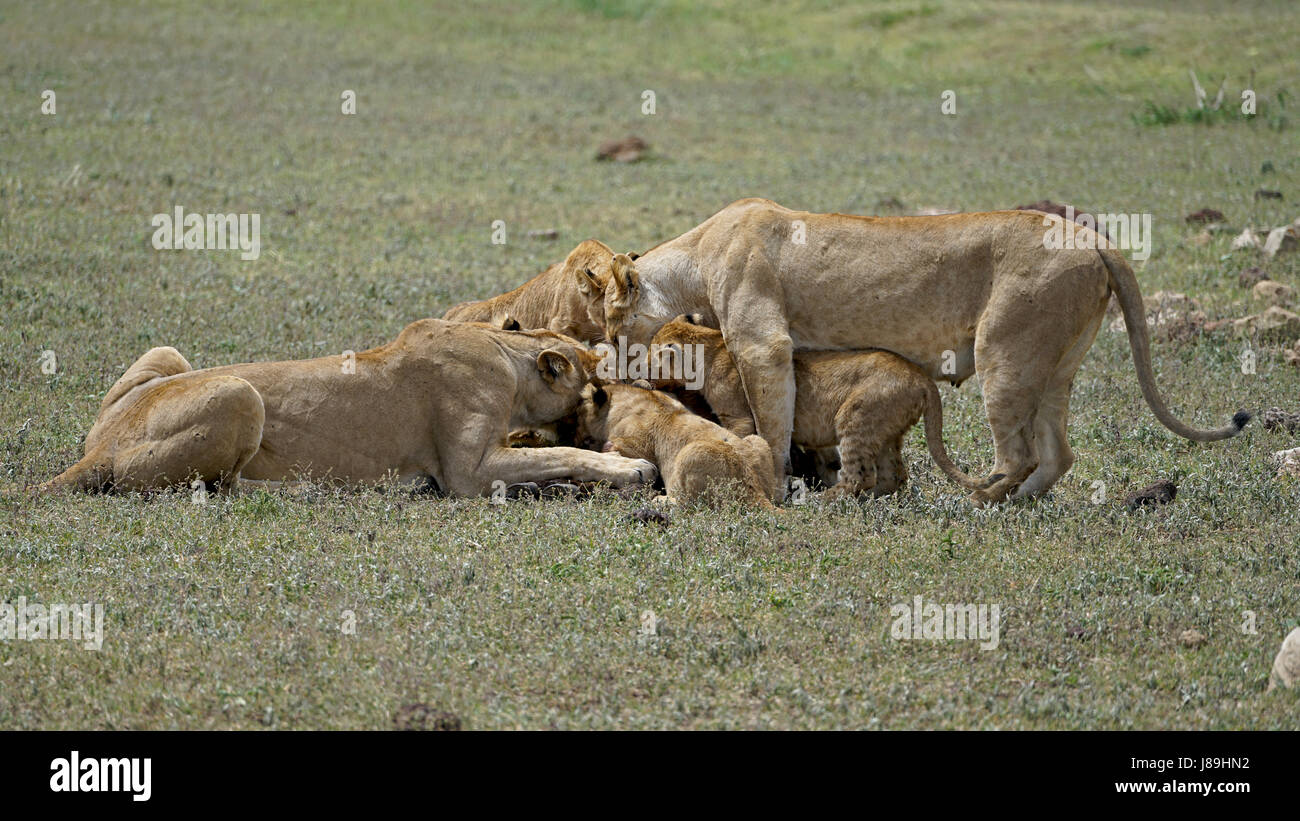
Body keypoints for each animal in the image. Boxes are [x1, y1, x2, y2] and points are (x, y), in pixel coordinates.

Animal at [41, 319, 658, 497]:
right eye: (596, 386)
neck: (508, 354)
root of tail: (98, 446)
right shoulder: (466, 472)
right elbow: (567, 454)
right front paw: (631, 468)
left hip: (167, 355)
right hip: (239, 394)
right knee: (220, 487)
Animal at [573, 381, 779, 508]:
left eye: (578, 415)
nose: (574, 438)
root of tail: (756, 489)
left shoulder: (636, 444)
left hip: (691, 453)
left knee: (689, 505)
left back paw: (660, 500)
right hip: (757, 441)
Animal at [650, 314, 984, 497]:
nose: (642, 374)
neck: (707, 347)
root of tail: (922, 379)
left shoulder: (740, 416)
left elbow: (737, 437)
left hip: (856, 417)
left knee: (860, 475)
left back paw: (820, 502)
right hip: (887, 430)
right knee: (894, 475)